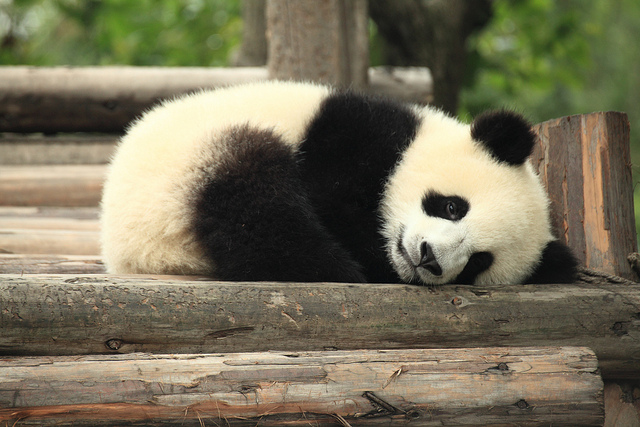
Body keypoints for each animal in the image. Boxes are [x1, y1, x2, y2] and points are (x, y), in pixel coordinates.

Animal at [100, 80, 578, 285]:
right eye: (452, 206)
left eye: (479, 262)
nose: (428, 259)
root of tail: (123, 251)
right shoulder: (352, 136)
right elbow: (331, 199)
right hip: (185, 168)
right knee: (256, 203)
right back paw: (336, 267)